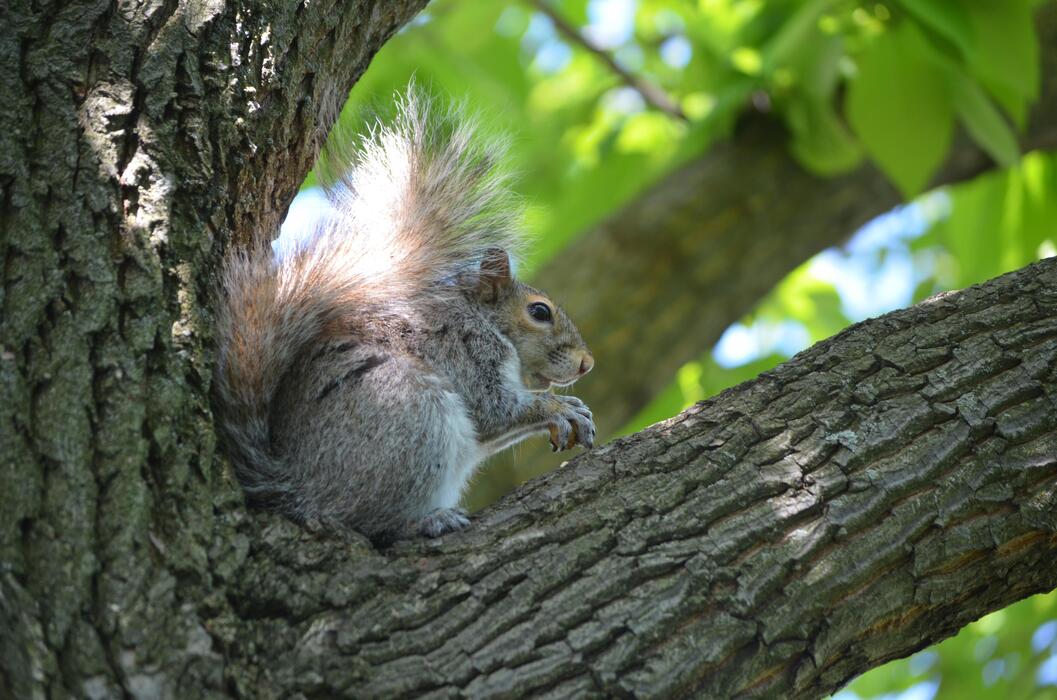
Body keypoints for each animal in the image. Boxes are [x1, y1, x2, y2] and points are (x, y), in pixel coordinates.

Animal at [214, 90, 595, 540]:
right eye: (539, 312)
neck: (486, 324)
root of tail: (298, 488)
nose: (588, 363)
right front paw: (560, 409)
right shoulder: (466, 351)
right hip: (412, 416)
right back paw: (427, 520)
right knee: (368, 521)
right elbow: (494, 411)